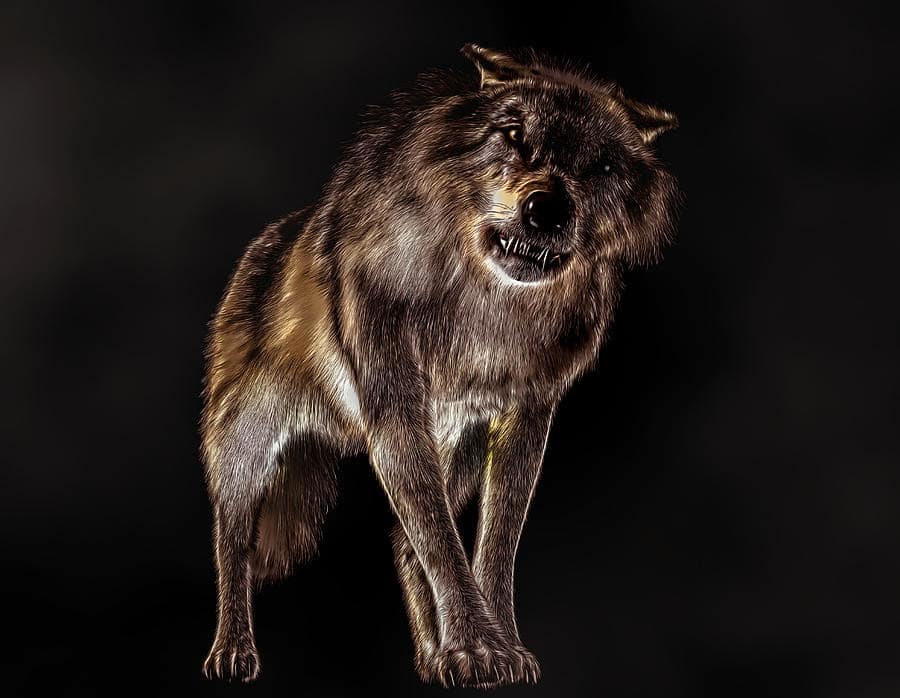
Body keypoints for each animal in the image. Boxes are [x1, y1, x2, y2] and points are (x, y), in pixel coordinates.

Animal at [200, 44, 679, 688]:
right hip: (244, 449)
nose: (546, 209)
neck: (484, 306)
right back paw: (232, 651)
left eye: (602, 166)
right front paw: (477, 649)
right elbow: (443, 543)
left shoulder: (524, 419)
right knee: (233, 543)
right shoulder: (396, 409)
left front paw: (495, 648)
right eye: (513, 134)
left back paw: (432, 660)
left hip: (459, 450)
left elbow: (490, 545)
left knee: (407, 542)